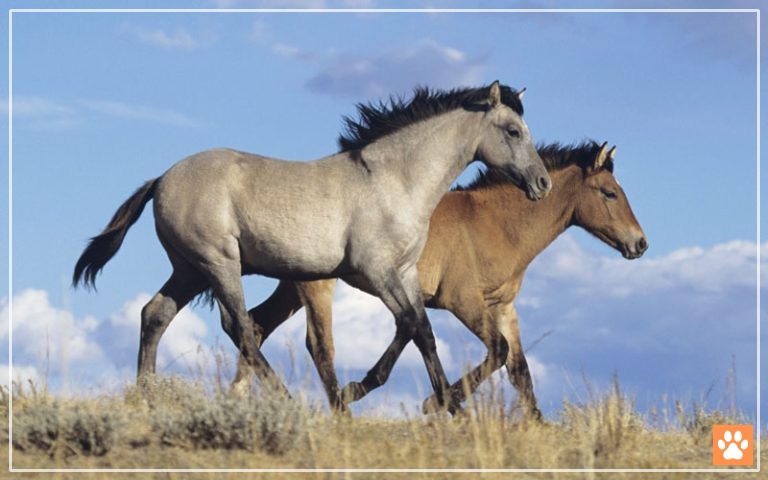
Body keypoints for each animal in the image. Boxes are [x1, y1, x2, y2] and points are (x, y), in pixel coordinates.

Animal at [72, 81, 552, 412]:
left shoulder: (405, 273)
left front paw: (446, 406)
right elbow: (416, 329)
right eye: (513, 131)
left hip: (189, 270)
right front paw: (445, 405)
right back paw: (285, 402)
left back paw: (146, 398)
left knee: (156, 315)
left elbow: (423, 333)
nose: (542, 183)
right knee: (239, 326)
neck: (393, 180)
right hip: (219, 263)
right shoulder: (377, 272)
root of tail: (161, 179)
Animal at [236, 141, 647, 415]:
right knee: (314, 343)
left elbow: (520, 372)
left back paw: (237, 396)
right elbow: (497, 352)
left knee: (255, 324)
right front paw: (435, 402)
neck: (496, 225)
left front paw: (538, 427)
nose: (640, 243)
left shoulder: (502, 307)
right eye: (609, 193)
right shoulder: (462, 302)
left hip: (292, 286)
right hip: (315, 285)